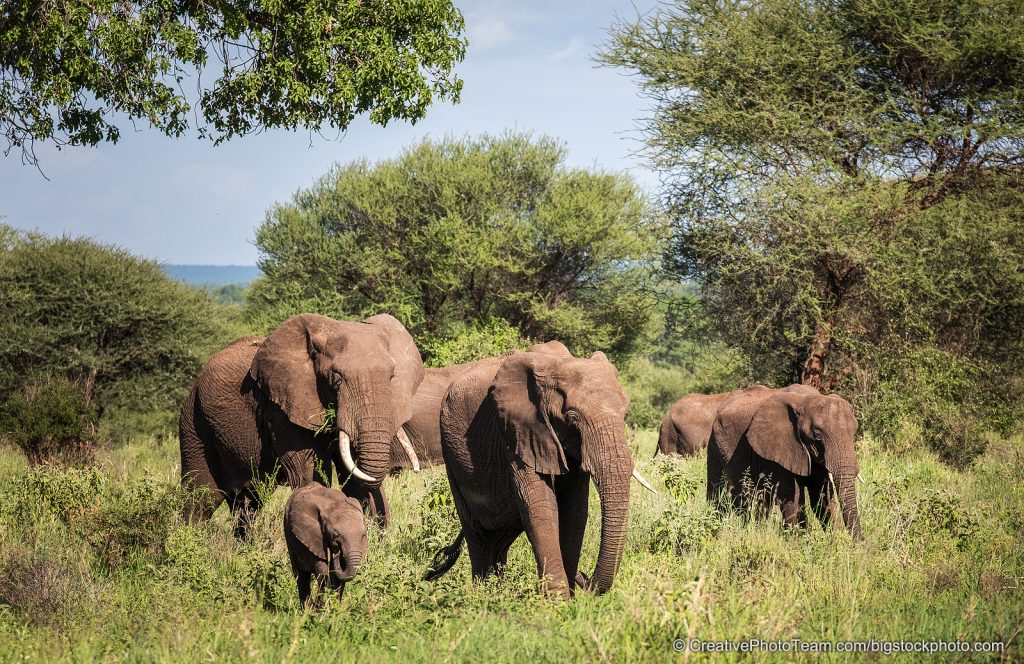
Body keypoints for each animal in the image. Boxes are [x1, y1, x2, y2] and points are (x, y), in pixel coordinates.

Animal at [178, 313, 424, 535]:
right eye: (337, 379)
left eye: (392, 377)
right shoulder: (281, 409)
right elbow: (310, 471)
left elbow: (352, 474)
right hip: (194, 421)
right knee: (202, 497)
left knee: (247, 503)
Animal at [424, 341, 655, 600]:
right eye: (572, 418)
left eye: (625, 415)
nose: (584, 578)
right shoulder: (516, 432)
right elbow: (540, 506)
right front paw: (558, 602)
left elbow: (575, 509)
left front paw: (569, 598)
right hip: (451, 456)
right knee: (478, 534)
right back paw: (484, 595)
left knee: (500, 539)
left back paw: (498, 592)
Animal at [706, 383, 862, 538]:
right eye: (817, 434)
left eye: (854, 432)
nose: (859, 541)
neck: (807, 400)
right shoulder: (780, 449)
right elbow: (794, 500)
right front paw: (798, 542)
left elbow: (822, 498)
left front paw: (835, 540)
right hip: (715, 445)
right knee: (724, 494)